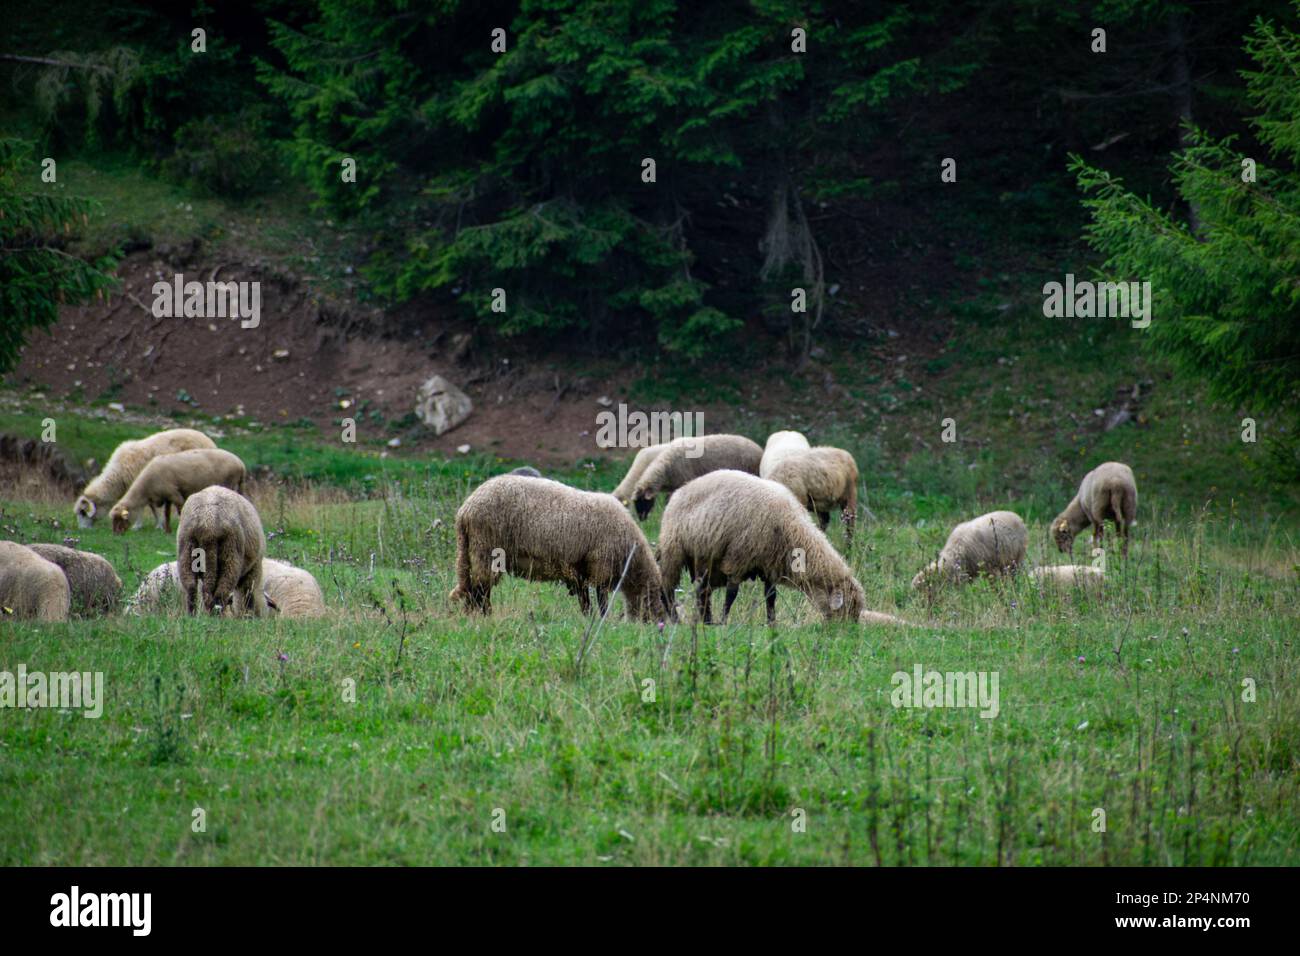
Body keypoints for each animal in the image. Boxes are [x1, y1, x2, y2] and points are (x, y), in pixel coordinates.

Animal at [74, 428, 215, 528]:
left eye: (82, 512)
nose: (82, 530)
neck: (118, 475)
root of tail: (210, 441)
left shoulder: (141, 485)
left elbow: (142, 506)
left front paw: (138, 525)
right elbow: (150, 506)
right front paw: (158, 524)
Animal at [109, 448, 246, 534]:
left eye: (121, 519)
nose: (116, 534)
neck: (146, 488)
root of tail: (241, 464)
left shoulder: (174, 494)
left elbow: (180, 510)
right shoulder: (167, 497)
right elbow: (167, 514)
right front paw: (167, 531)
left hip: (229, 484)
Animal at [176, 486, 266, 617]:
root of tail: (208, 522)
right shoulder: (254, 568)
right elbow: (248, 593)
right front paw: (248, 615)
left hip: (187, 551)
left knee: (191, 587)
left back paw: (192, 614)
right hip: (231, 554)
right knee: (222, 590)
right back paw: (216, 615)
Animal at [450, 474, 667, 621]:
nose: (658, 626)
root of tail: (465, 510)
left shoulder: (580, 570)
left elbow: (585, 600)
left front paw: (588, 619)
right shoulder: (600, 565)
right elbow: (601, 600)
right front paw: (602, 621)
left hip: (472, 552)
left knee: (473, 589)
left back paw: (473, 615)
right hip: (486, 548)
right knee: (481, 589)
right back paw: (486, 616)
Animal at [656, 470, 864, 626]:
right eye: (847, 609)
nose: (843, 633)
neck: (791, 528)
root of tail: (681, 490)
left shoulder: (770, 565)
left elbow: (771, 597)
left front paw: (772, 624)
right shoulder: (739, 558)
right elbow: (732, 594)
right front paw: (724, 622)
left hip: (704, 560)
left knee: (702, 592)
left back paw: (705, 622)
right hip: (673, 550)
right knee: (667, 588)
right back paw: (675, 621)